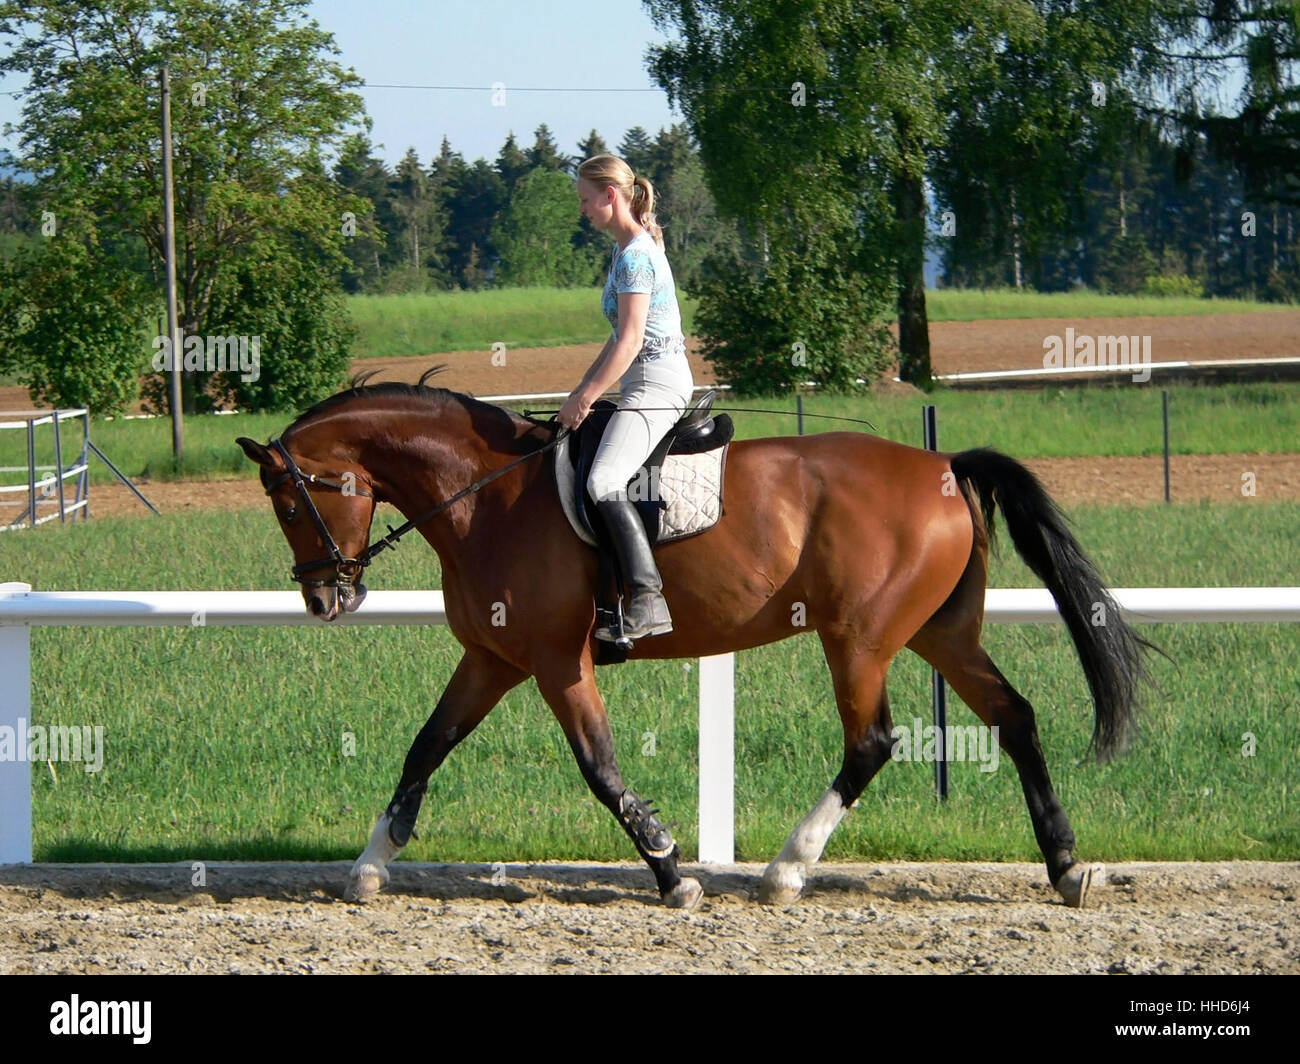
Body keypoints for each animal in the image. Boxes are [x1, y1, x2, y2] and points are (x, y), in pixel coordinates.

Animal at [237, 369, 1151, 910]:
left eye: (289, 502)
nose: (325, 597)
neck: (483, 495)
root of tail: (942, 466)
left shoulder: (556, 662)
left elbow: (600, 768)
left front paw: (671, 868)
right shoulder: (492, 658)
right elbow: (425, 747)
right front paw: (370, 863)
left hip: (858, 638)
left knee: (873, 741)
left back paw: (786, 871)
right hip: (936, 633)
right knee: (1014, 716)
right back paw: (1066, 866)